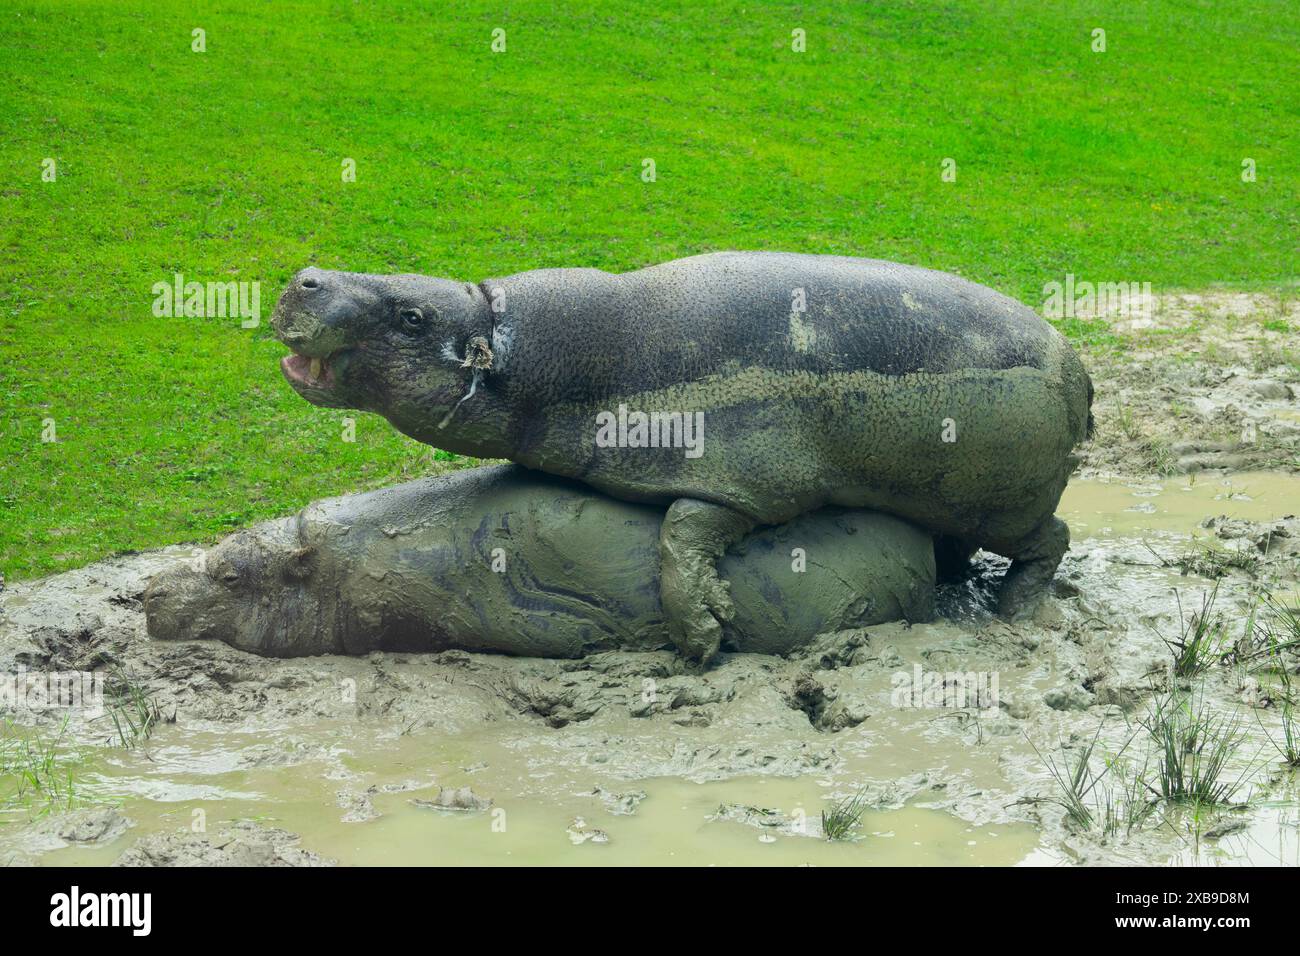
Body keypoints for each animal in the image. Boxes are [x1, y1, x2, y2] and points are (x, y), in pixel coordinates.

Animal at [271, 252, 1092, 662]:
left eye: (413, 316)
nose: (307, 275)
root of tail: (1078, 367)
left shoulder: (748, 481)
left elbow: (682, 534)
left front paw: (702, 642)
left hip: (1001, 502)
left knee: (1053, 537)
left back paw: (1019, 612)